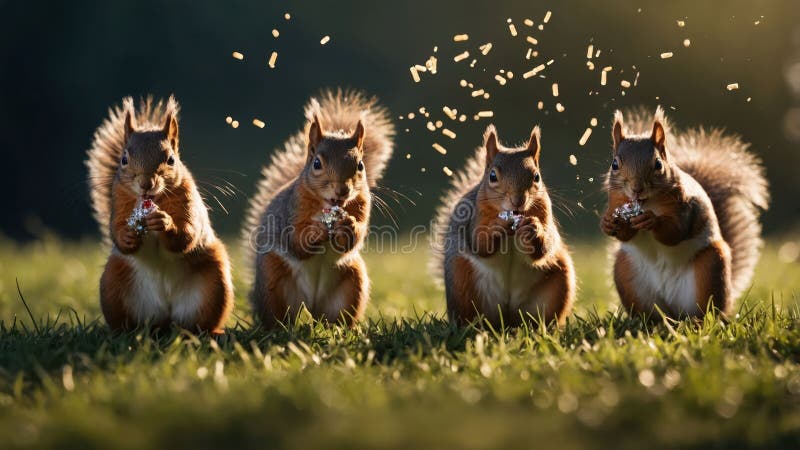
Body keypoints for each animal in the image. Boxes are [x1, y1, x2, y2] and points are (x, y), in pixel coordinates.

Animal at [86, 96, 234, 334]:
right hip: (113, 286)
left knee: (200, 322)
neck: (151, 201)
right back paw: (123, 332)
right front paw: (128, 235)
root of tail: (164, 317)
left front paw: (165, 223)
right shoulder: (119, 200)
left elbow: (188, 233)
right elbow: (116, 229)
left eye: (171, 160)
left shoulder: (188, 200)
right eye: (124, 159)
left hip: (214, 284)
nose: (146, 184)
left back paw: (210, 332)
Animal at [243, 89, 394, 328]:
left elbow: (356, 237)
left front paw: (349, 225)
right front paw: (315, 231)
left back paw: (343, 329)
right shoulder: (293, 208)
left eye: (360, 165)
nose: (342, 190)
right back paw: (278, 328)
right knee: (278, 316)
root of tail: (311, 304)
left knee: (336, 318)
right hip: (272, 279)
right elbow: (296, 241)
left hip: (352, 282)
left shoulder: (362, 203)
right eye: (316, 163)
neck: (327, 206)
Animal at [432, 125, 576, 327]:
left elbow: (545, 246)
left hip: (559, 280)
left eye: (536, 177)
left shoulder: (545, 212)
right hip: (462, 283)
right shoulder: (476, 218)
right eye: (492, 176)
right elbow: (480, 243)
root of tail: (506, 316)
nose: (518, 201)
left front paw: (534, 229)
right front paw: (497, 227)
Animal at [601, 107, 769, 318]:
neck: (648, 202)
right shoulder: (616, 202)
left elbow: (675, 231)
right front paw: (607, 223)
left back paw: (699, 320)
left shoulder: (685, 207)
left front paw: (651, 220)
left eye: (658, 164)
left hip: (710, 269)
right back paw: (648, 321)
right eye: (614, 164)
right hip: (626, 274)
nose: (636, 189)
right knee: (651, 314)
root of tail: (674, 310)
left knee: (706, 311)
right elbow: (625, 235)